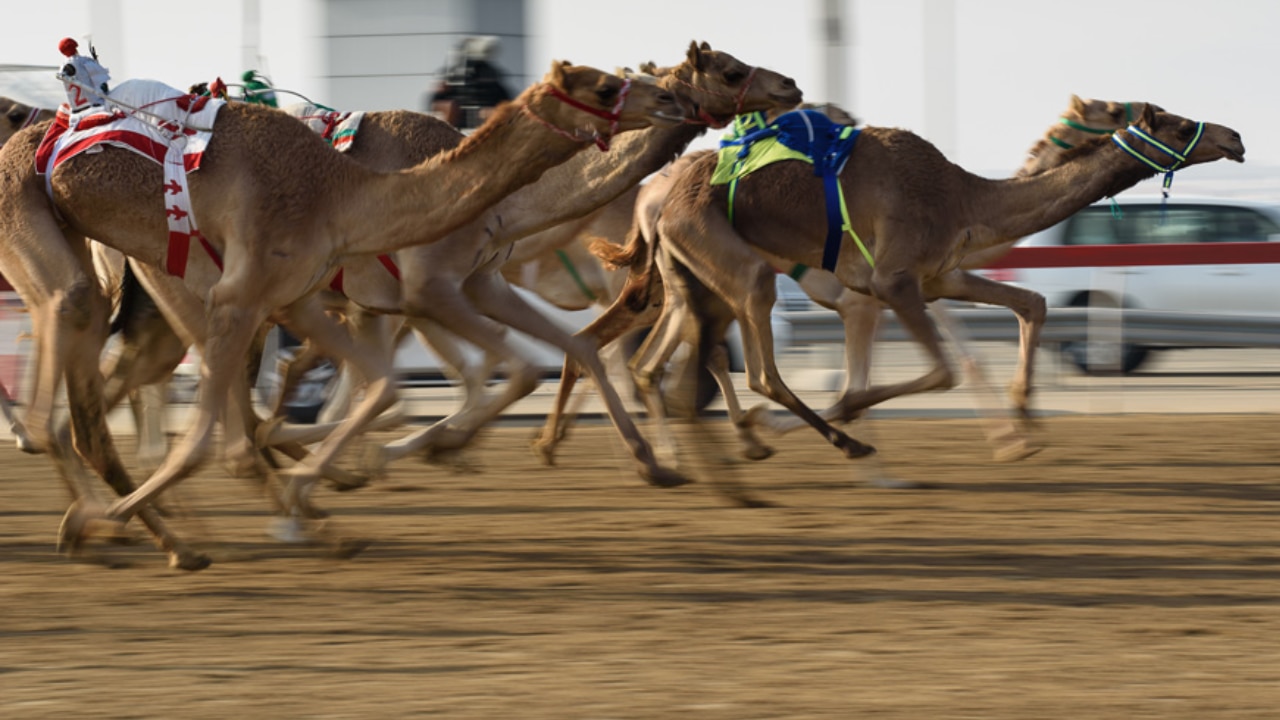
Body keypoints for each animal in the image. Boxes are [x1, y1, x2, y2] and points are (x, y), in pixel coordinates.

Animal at [1, 60, 684, 567]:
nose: (673, 103)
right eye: (606, 85)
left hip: (138, 265)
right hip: (30, 213)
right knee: (63, 366)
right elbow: (209, 441)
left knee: (89, 392)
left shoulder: (301, 296)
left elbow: (385, 387)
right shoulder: (274, 294)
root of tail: (24, 132)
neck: (340, 191)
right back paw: (129, 528)